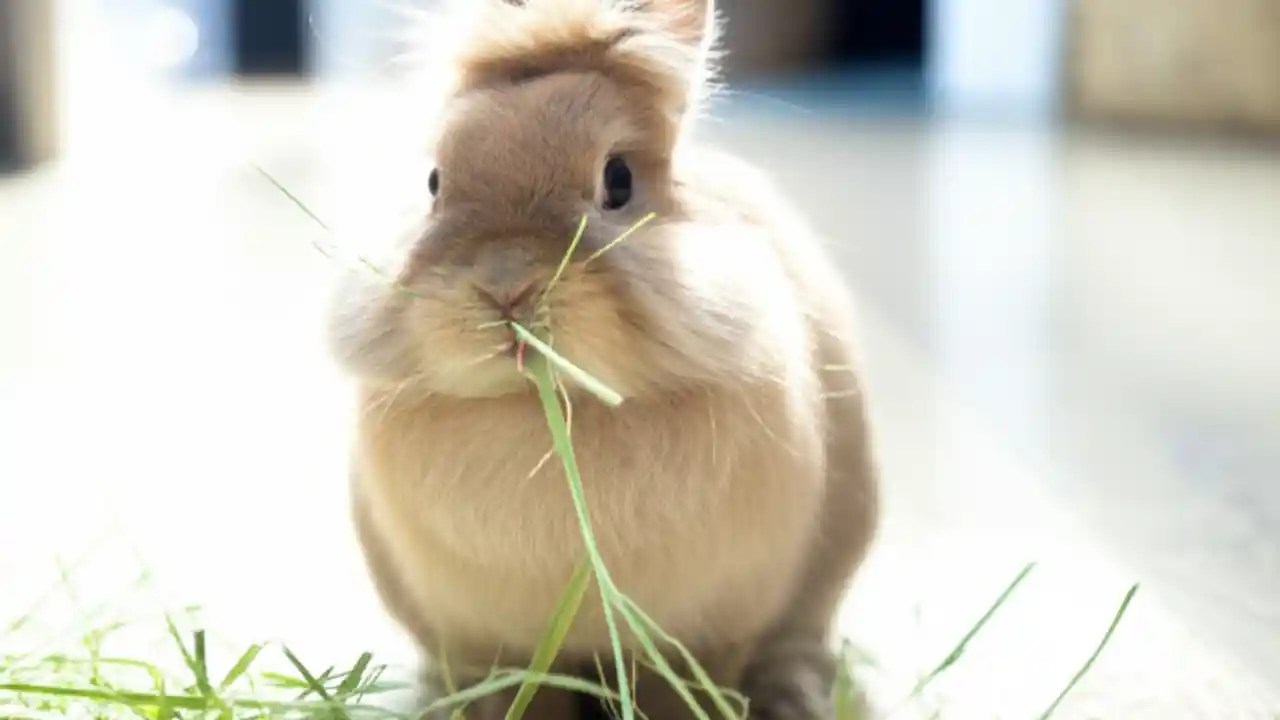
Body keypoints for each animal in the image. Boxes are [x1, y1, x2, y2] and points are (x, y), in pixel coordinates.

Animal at [327, 0, 879, 718]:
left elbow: (674, 694)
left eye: (618, 179)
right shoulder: (493, 648)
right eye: (433, 182)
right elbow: (520, 695)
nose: (506, 287)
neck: (546, 416)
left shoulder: (698, 639)